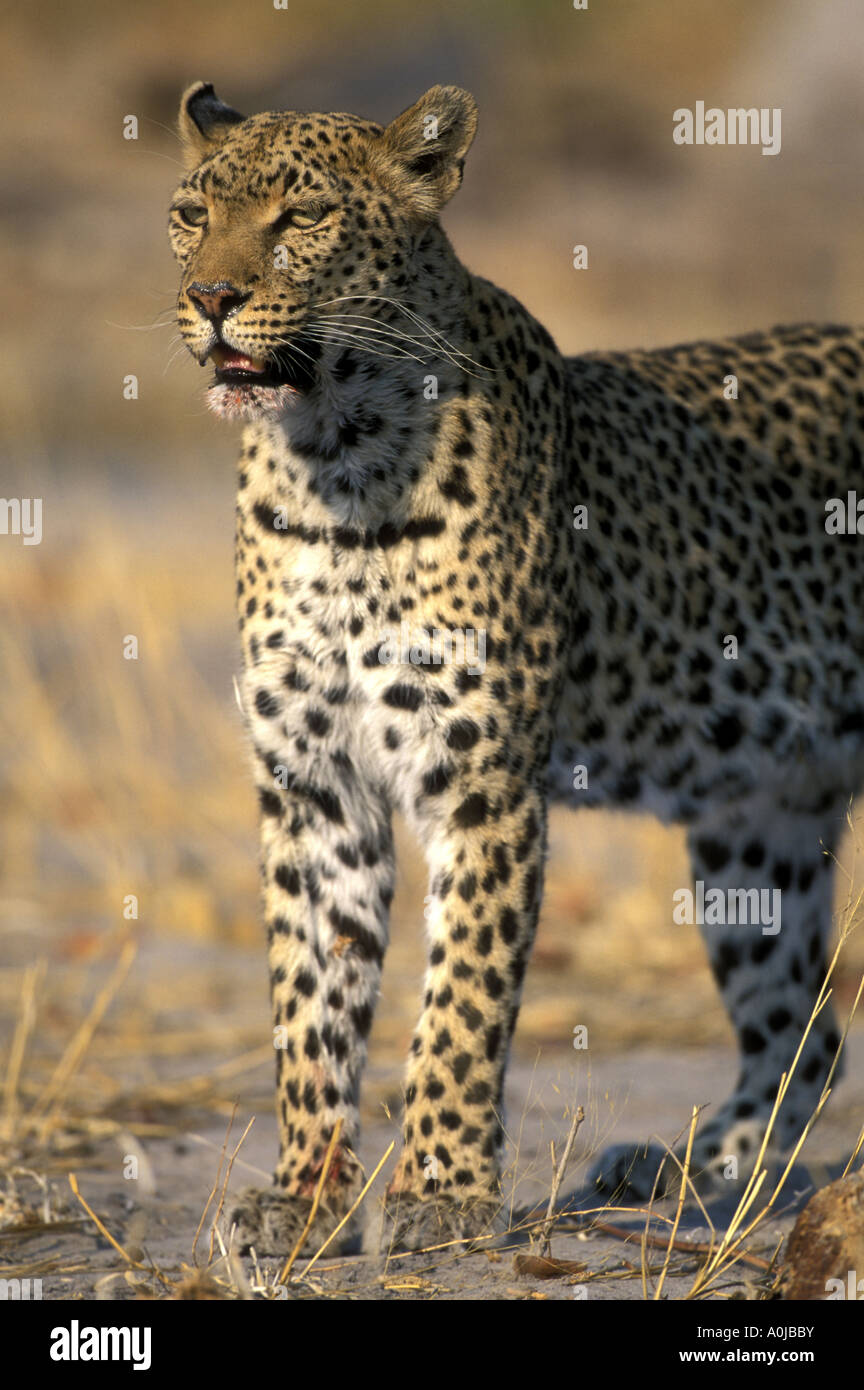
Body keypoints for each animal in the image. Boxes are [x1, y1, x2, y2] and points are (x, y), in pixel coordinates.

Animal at [168, 79, 864, 1255]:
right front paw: (305, 1198)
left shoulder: (481, 782)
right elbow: (310, 1003)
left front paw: (443, 1191)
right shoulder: (315, 785)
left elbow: (461, 1000)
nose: (212, 296)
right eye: (190, 213)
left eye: (301, 217)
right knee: (805, 1037)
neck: (331, 467)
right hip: (756, 826)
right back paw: (692, 1167)